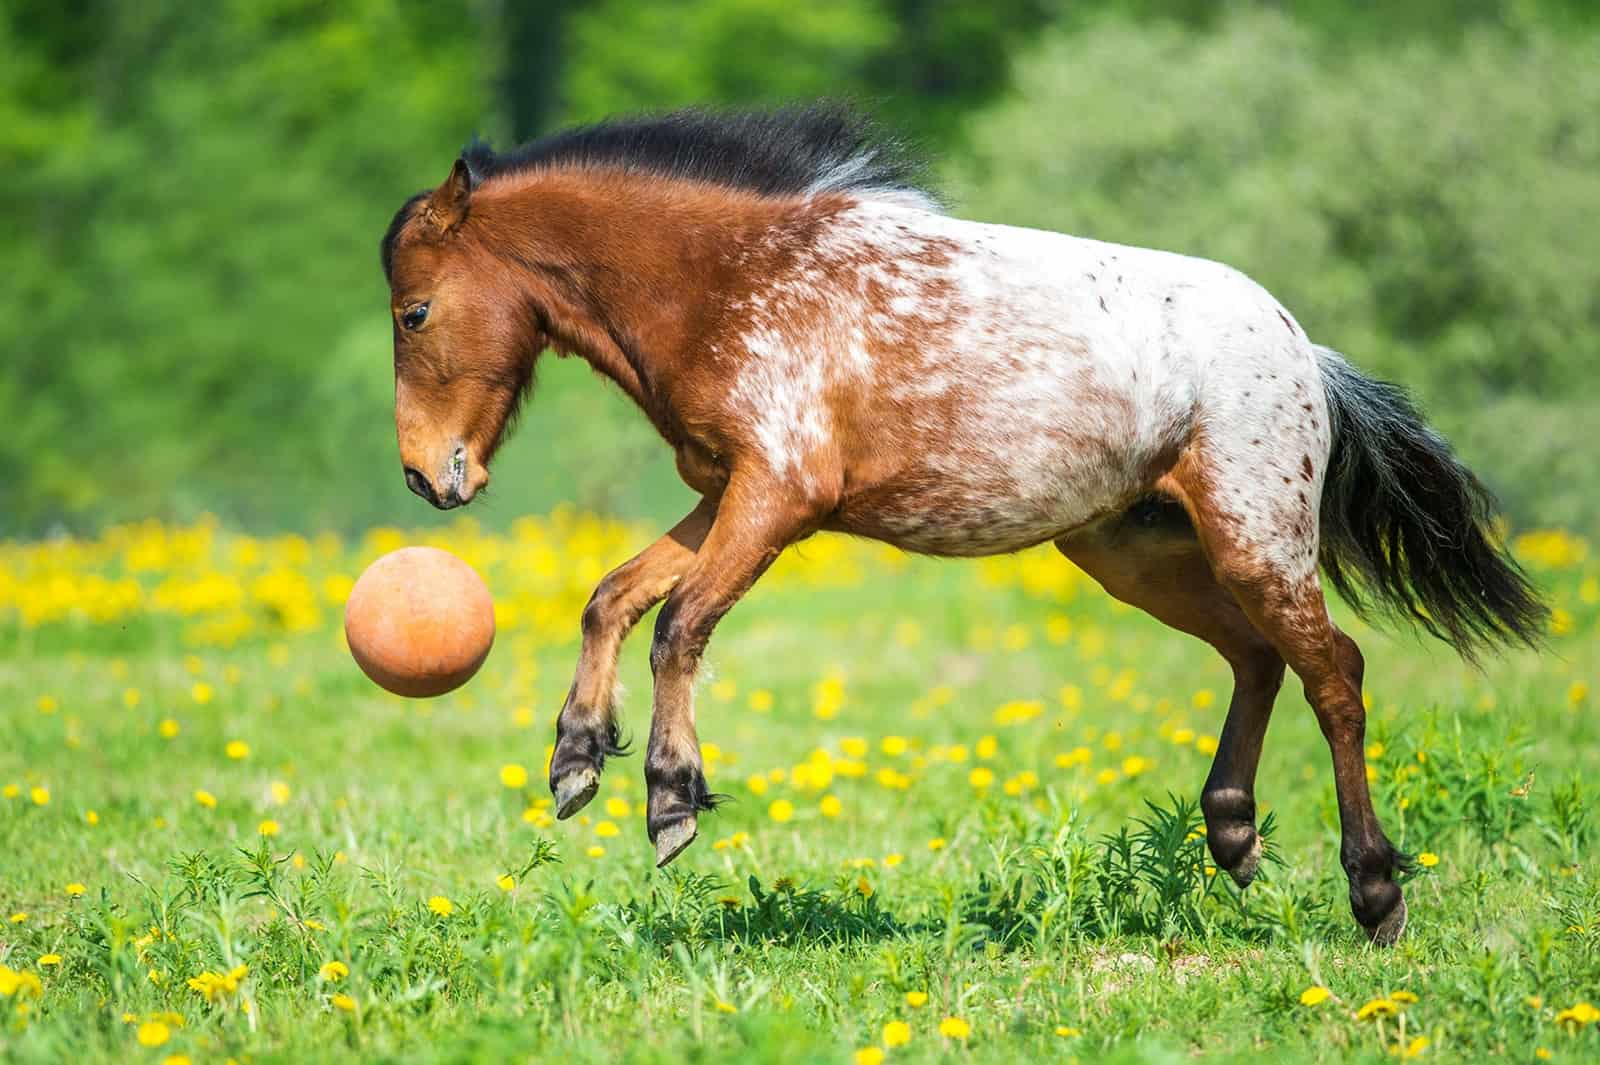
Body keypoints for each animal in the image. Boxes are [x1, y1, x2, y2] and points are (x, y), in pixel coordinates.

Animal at [379, 103, 1546, 945]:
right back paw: (1232, 835)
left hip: (1255, 538)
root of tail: (1307, 352)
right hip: (1134, 551)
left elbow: (680, 624)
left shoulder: (778, 498)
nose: (429, 478)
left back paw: (1374, 896)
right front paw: (576, 760)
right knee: (1258, 659)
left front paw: (670, 802)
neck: (731, 284)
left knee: (1334, 672)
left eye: (415, 312)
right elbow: (612, 596)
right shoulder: (724, 491)